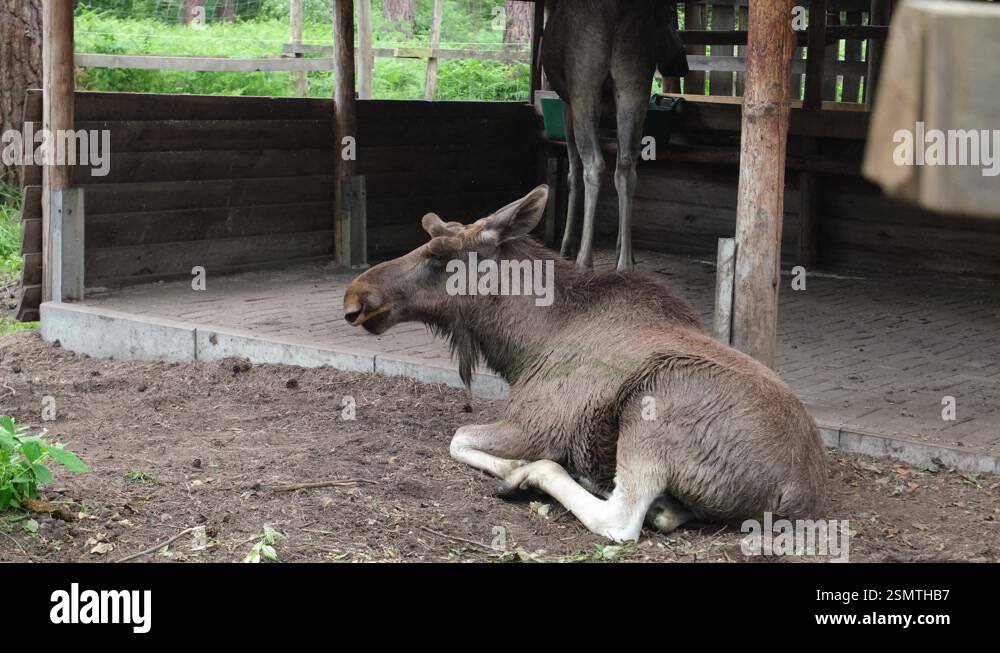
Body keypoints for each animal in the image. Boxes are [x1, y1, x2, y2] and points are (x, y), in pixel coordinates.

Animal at [343, 187, 826, 542]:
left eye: (438, 256)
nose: (356, 297)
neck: (523, 345)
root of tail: (793, 495)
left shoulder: (537, 424)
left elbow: (457, 438)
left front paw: (515, 468)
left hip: (651, 409)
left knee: (621, 520)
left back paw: (537, 475)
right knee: (663, 515)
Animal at [541, 0, 689, 272]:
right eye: (670, 17)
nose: (682, 64)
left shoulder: (566, 102)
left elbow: (573, 174)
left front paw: (567, 244)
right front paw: (623, 250)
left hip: (584, 86)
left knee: (594, 165)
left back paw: (584, 258)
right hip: (634, 83)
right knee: (627, 167)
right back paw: (625, 263)